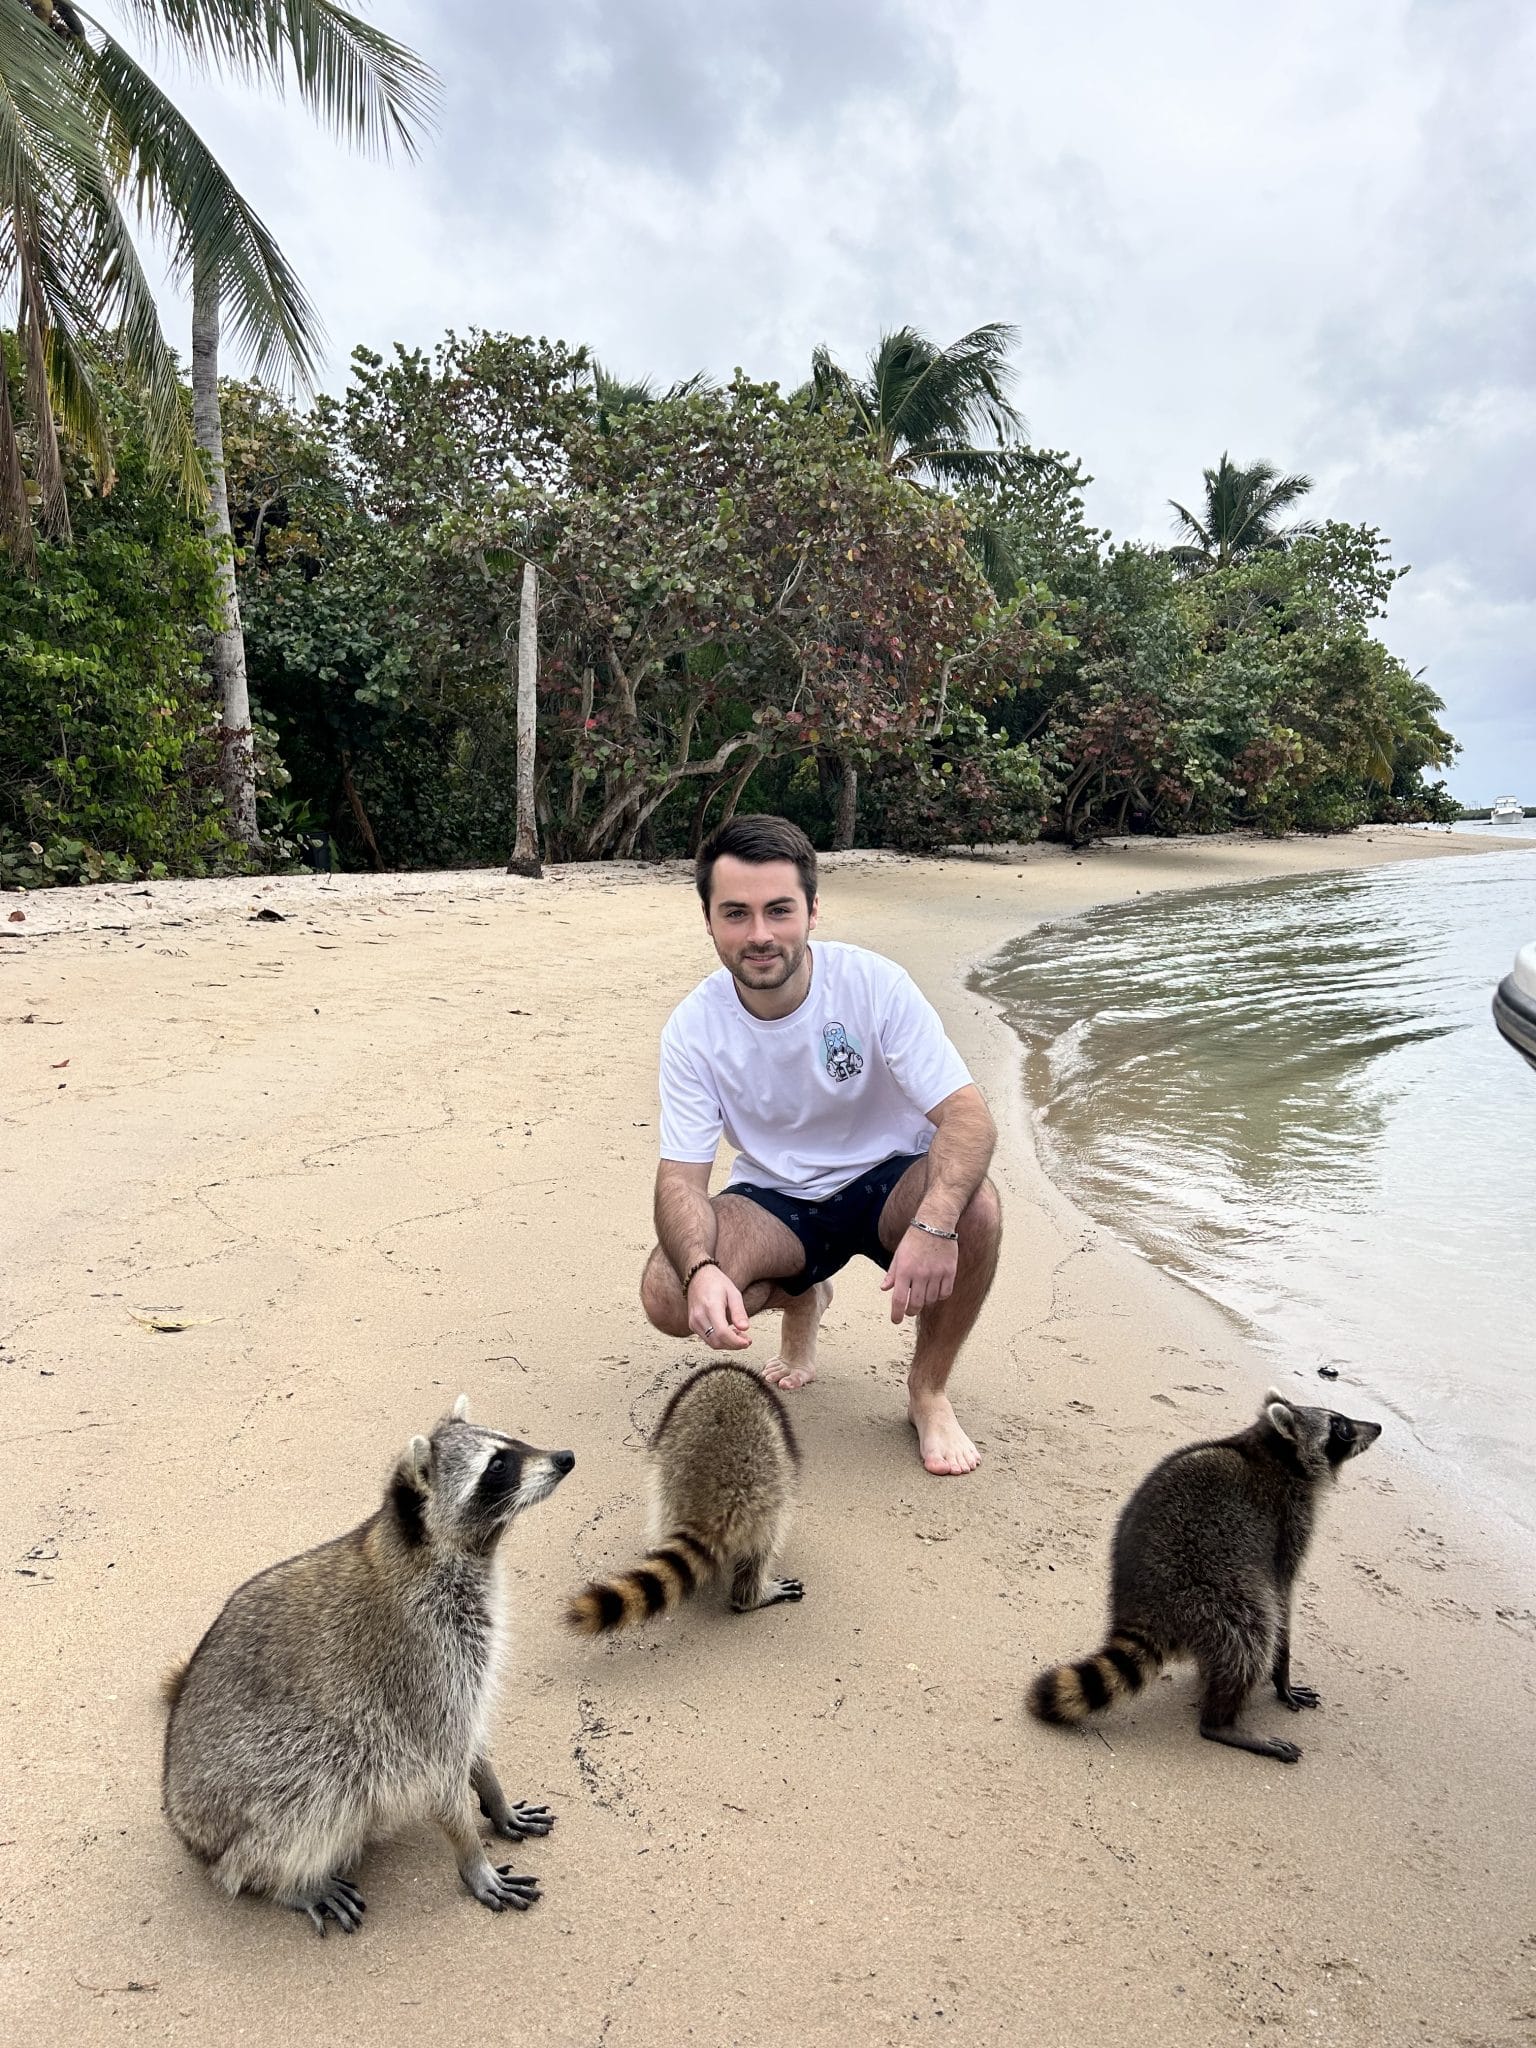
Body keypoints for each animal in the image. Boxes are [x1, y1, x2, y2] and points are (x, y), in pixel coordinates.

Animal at [162, 1397, 574, 1933]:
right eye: (498, 1466)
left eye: (514, 1441)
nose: (566, 1457)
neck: (445, 1553)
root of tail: (189, 1830)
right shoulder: (420, 1664)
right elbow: (441, 1771)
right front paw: (471, 1857)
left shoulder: (463, 1664)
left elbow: (471, 1737)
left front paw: (493, 1792)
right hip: (267, 1780)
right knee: (324, 1777)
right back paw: (283, 1881)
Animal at [1027, 1389, 1381, 1762]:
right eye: (1341, 1427)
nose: (1377, 1427)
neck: (1277, 1453)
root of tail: (1140, 1610)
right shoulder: (1288, 1521)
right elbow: (1282, 1597)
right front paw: (1281, 1674)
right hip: (1206, 1592)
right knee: (1252, 1630)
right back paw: (1221, 1721)